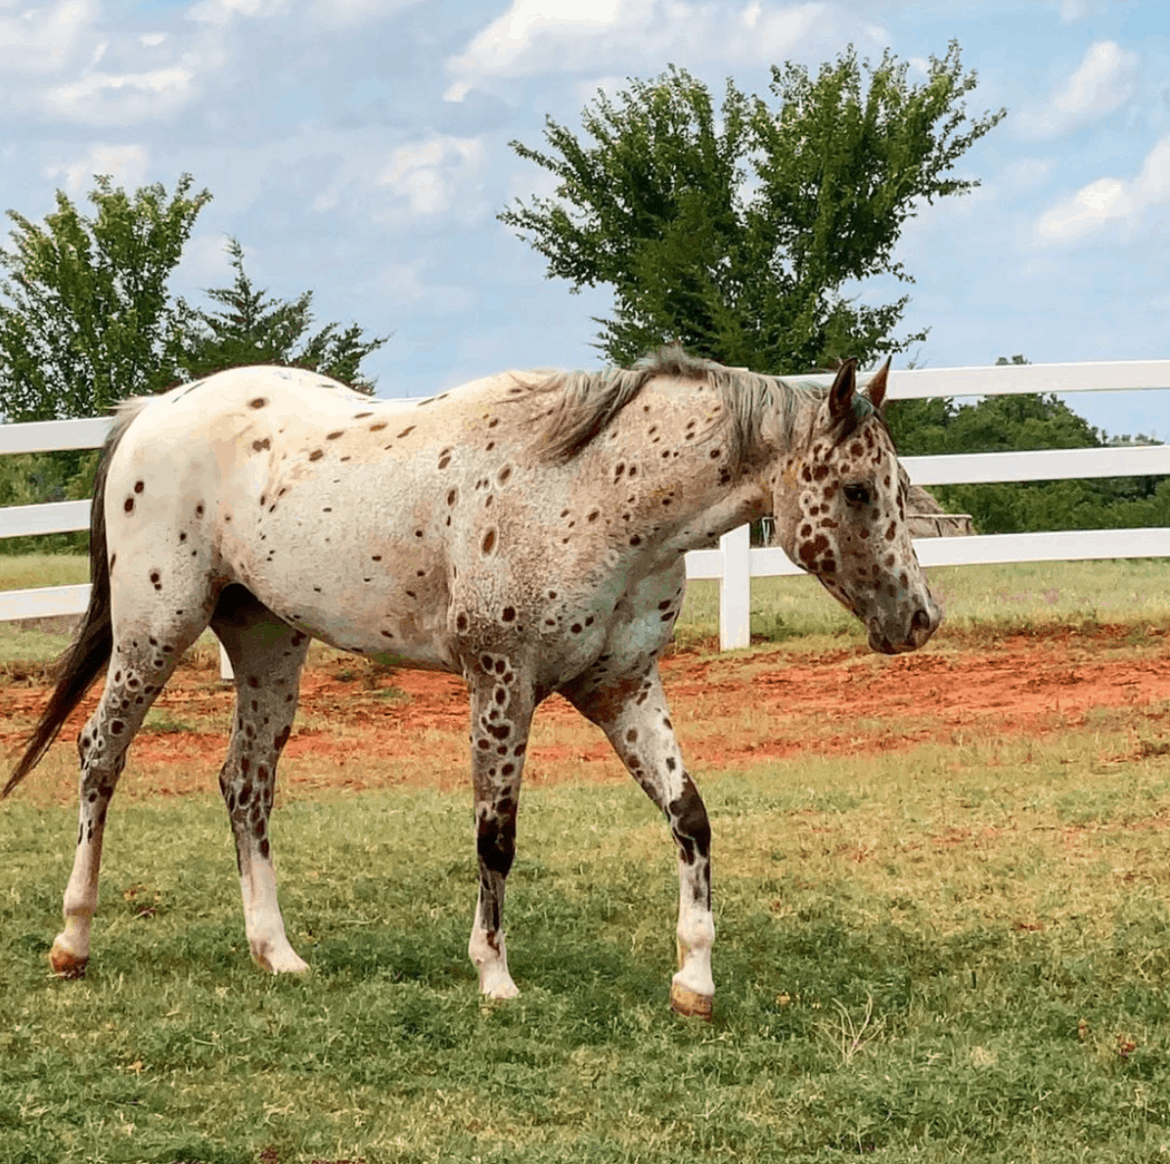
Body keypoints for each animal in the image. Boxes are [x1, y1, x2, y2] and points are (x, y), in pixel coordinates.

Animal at [4, 346, 940, 1018]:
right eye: (859, 489)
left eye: (894, 485)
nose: (920, 618)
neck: (592, 494)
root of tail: (151, 412)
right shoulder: (500, 684)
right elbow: (497, 836)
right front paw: (494, 976)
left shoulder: (624, 688)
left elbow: (691, 817)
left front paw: (695, 979)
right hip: (155, 629)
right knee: (100, 753)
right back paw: (73, 940)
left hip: (267, 644)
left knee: (246, 784)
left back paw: (278, 953)